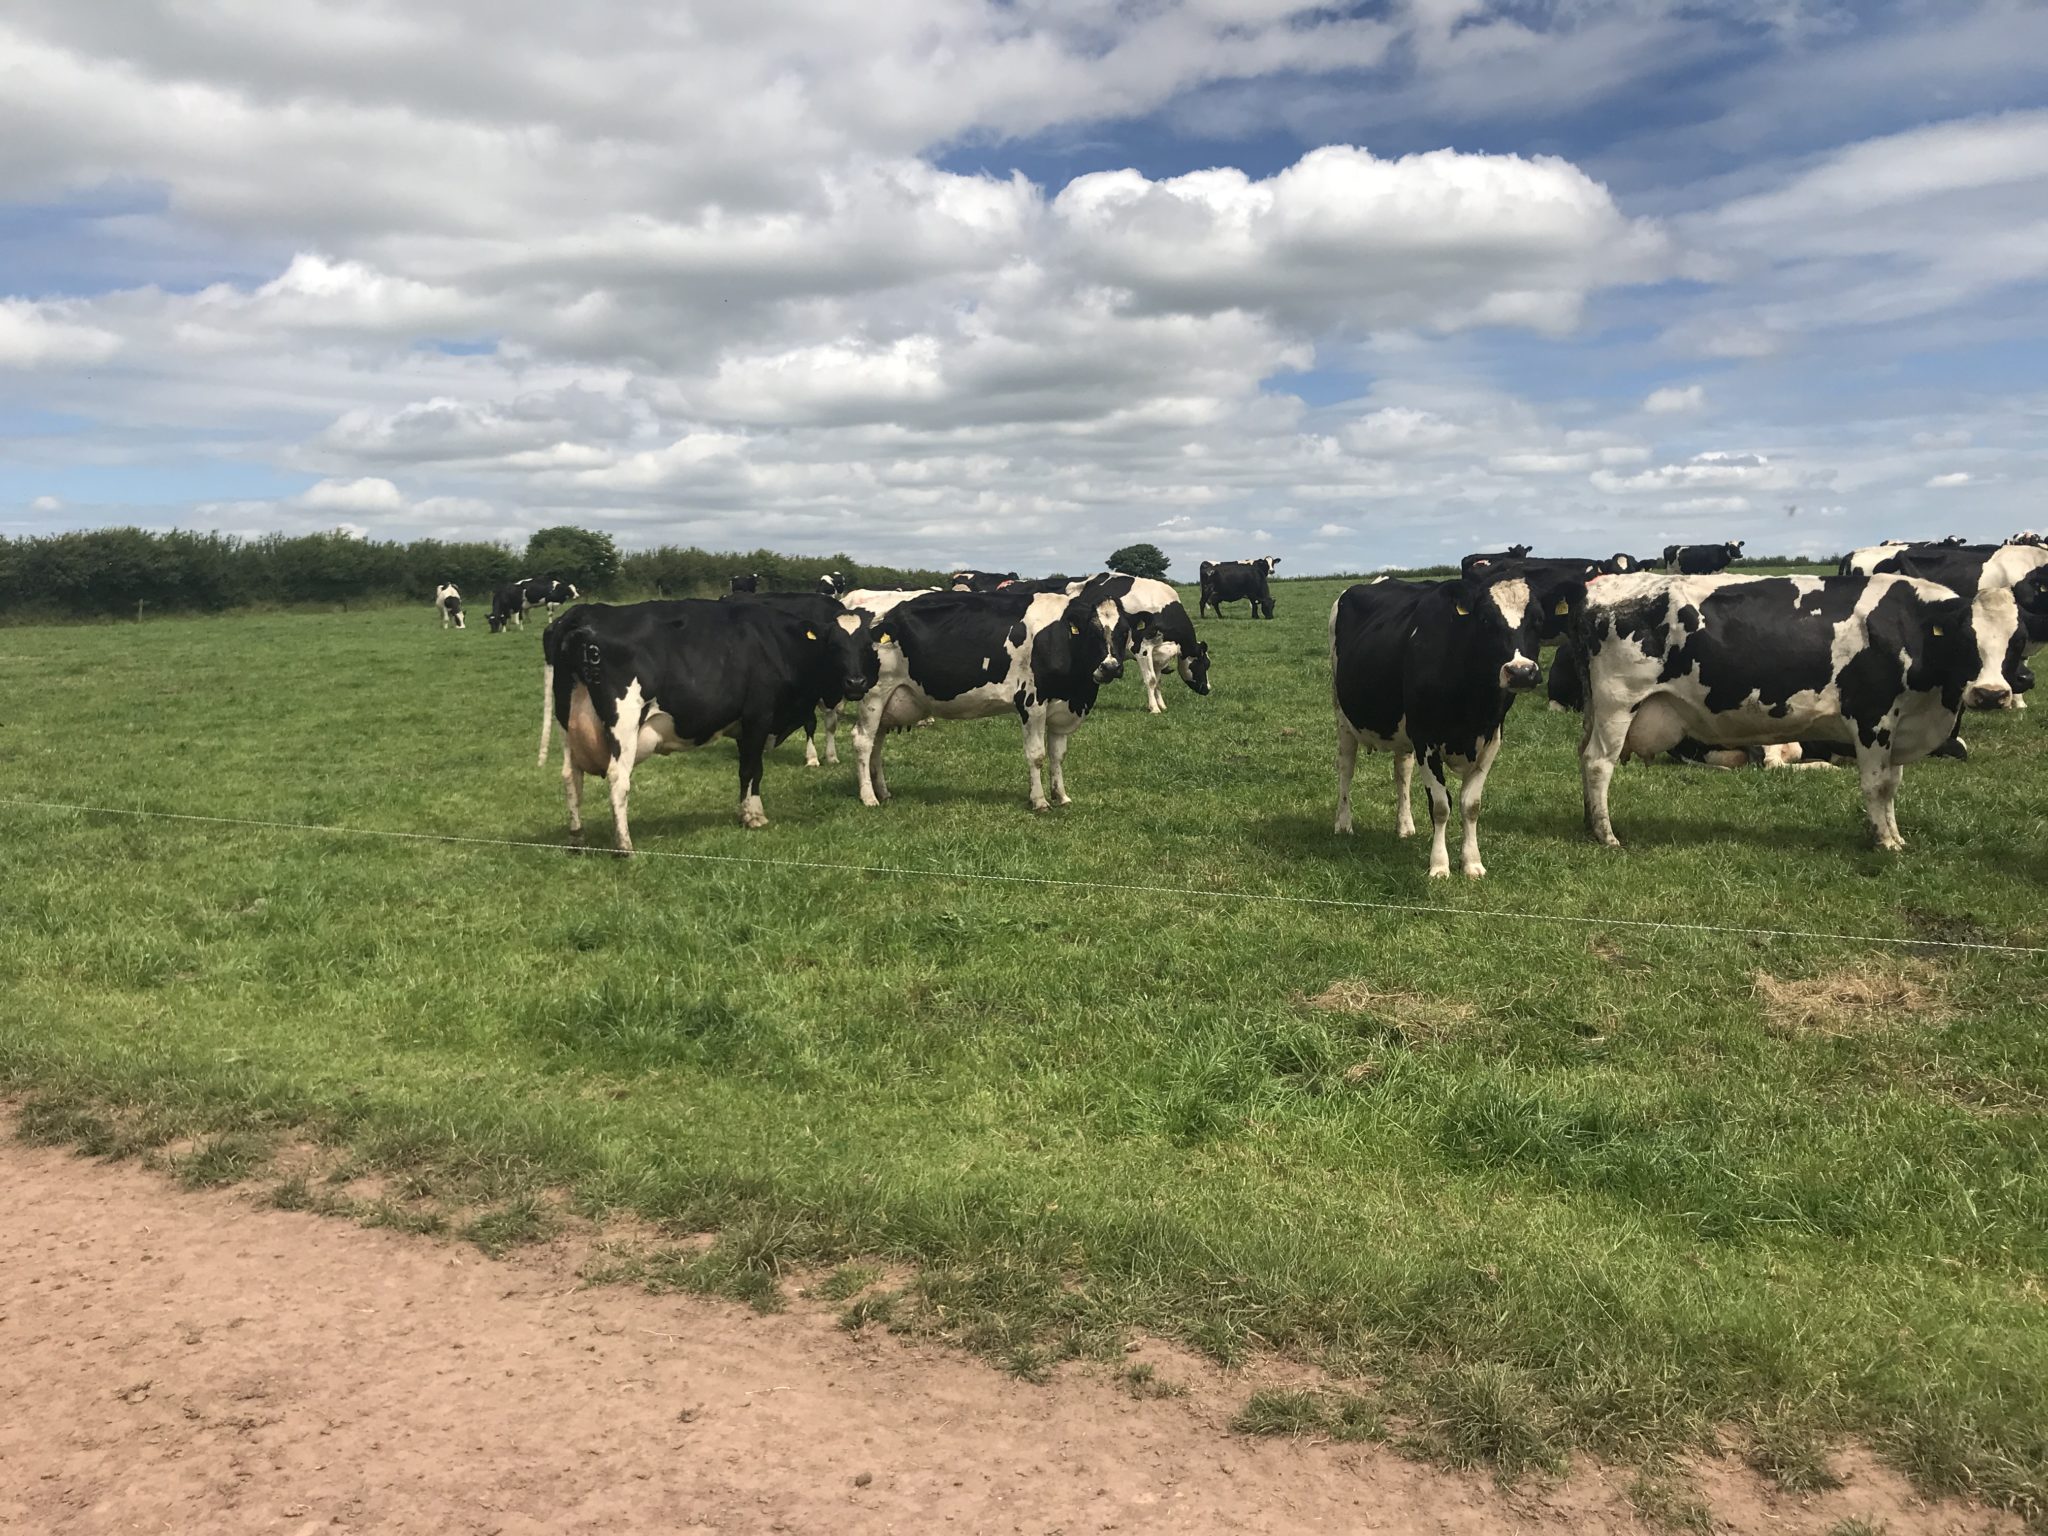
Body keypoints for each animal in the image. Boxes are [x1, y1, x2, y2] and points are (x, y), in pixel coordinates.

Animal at [536, 599, 879, 853]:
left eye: (866, 647)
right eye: (833, 646)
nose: (856, 683)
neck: (777, 644)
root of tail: (583, 612)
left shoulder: (744, 726)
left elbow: (751, 772)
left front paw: (751, 811)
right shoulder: (758, 717)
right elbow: (751, 769)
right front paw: (751, 817)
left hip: (569, 724)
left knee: (570, 776)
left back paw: (577, 838)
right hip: (624, 722)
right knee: (618, 778)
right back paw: (625, 846)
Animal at [851, 587, 1131, 812]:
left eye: (1124, 632)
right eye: (1093, 632)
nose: (1110, 667)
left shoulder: (1062, 709)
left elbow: (1057, 756)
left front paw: (1061, 796)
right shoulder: (1031, 702)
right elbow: (1037, 755)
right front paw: (1039, 801)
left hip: (888, 702)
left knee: (876, 743)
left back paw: (883, 791)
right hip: (873, 693)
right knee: (863, 741)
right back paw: (869, 797)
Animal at [1331, 566, 1562, 879]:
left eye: (1538, 620)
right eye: (1485, 619)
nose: (1521, 672)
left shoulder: (1491, 739)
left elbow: (1471, 805)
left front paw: (1472, 862)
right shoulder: (1425, 739)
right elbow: (1441, 805)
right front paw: (1439, 865)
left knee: (1401, 772)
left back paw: (1405, 825)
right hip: (1343, 716)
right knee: (1346, 768)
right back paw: (1343, 823)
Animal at [1575, 572, 2028, 853]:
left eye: (2017, 640)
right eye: (1965, 639)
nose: (1991, 694)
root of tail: (1603, 588)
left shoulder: (1897, 725)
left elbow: (1892, 786)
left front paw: (1894, 836)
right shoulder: (1871, 717)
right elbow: (1876, 785)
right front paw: (1883, 842)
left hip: (1599, 710)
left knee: (1584, 759)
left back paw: (1590, 823)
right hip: (1619, 703)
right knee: (1599, 763)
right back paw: (1607, 835)